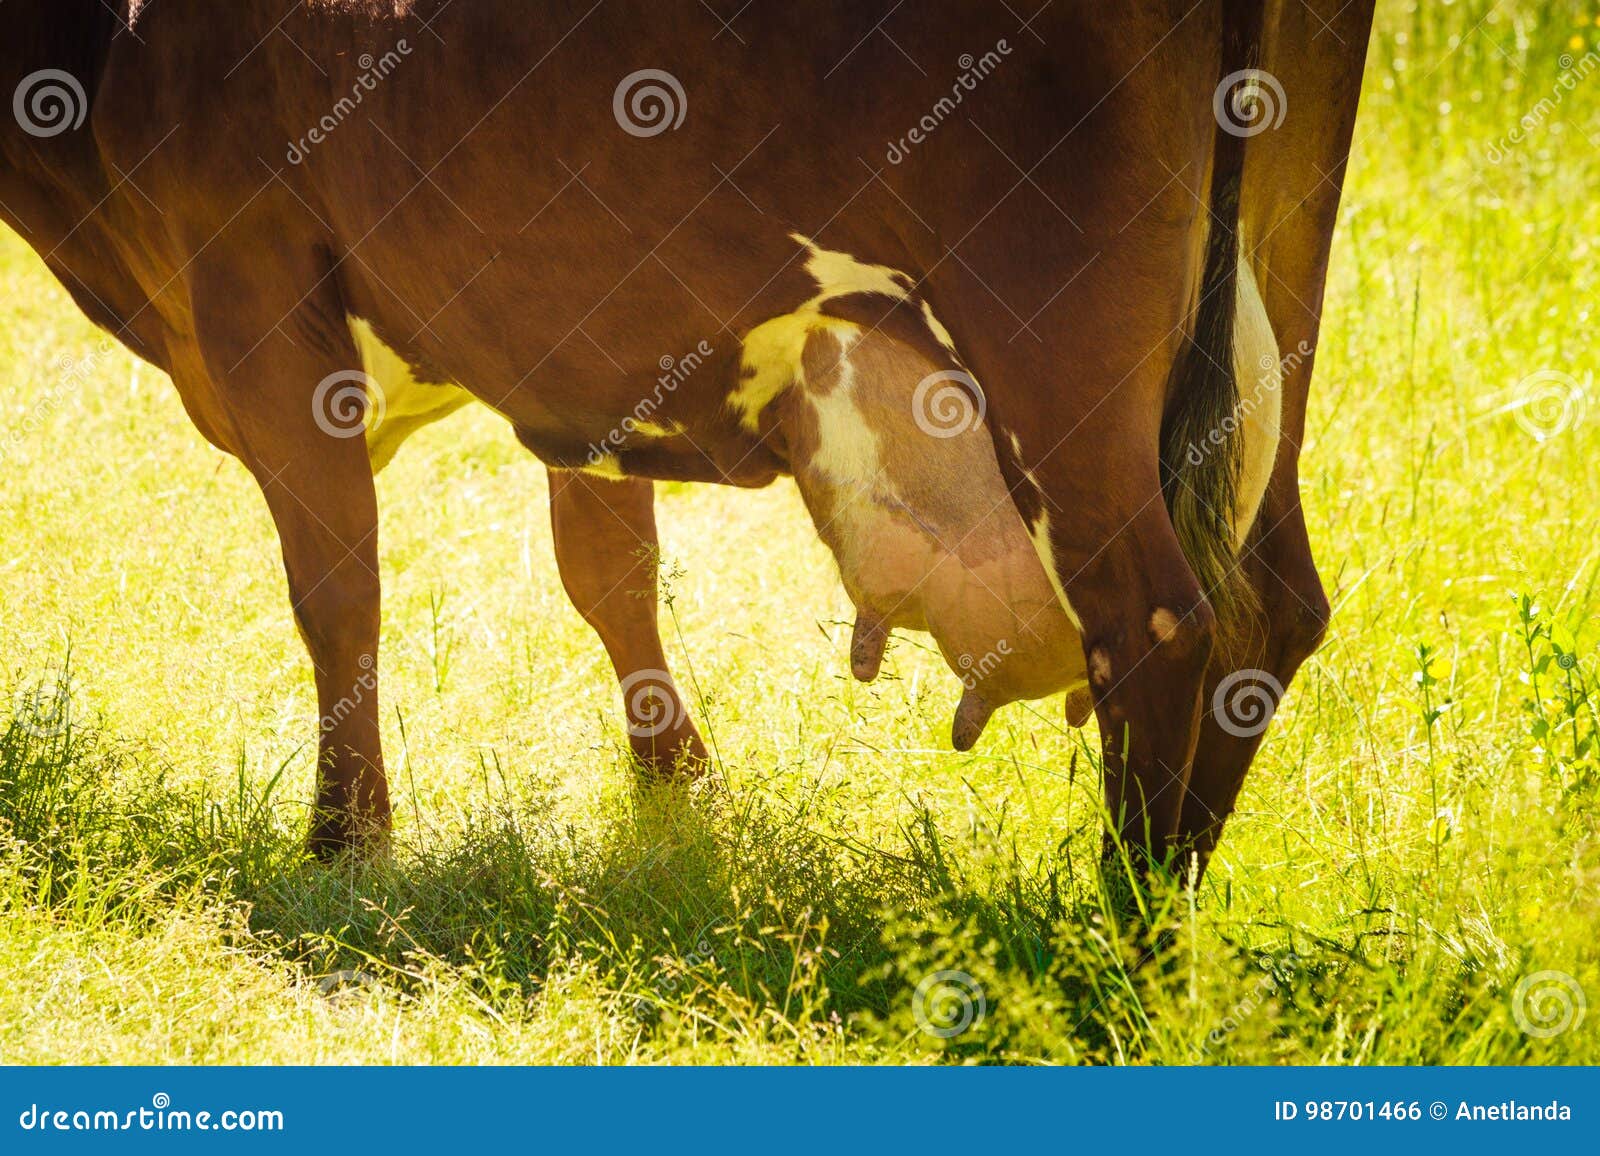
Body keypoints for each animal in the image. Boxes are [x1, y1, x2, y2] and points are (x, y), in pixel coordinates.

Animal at [0, 1, 1375, 885]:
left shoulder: (255, 286)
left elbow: (337, 589)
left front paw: (345, 846)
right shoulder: (565, 338)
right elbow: (607, 571)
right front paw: (675, 793)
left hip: (1059, 343)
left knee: (1162, 622)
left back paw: (1112, 938)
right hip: (1271, 288)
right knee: (1272, 609)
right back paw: (1173, 894)